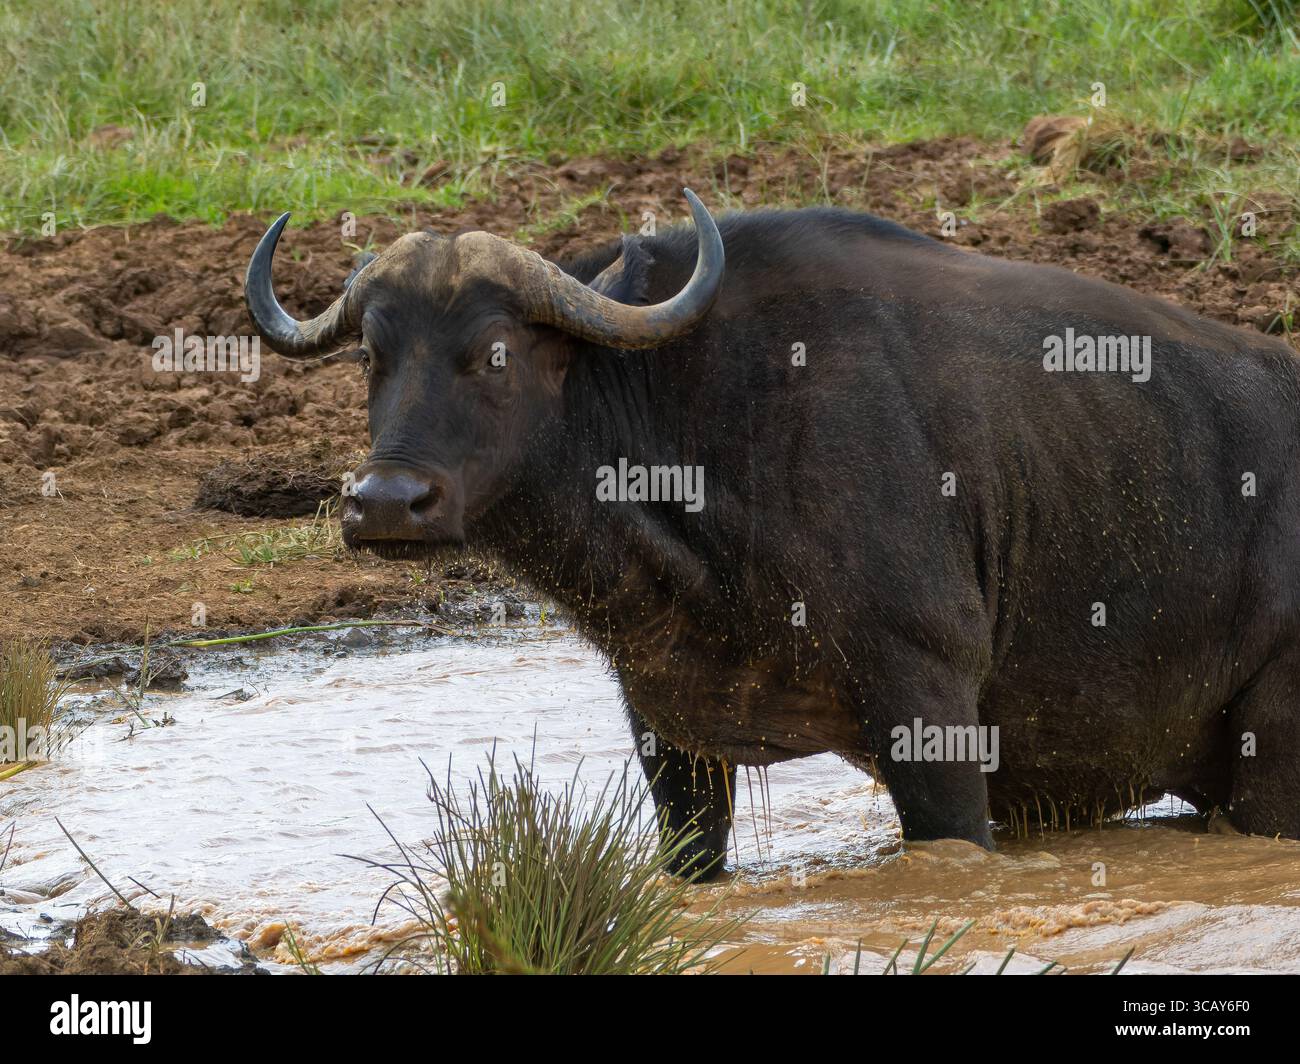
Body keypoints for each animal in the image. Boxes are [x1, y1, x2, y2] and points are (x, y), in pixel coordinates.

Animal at [245, 191, 1300, 879]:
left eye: (495, 353)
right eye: (373, 356)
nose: (387, 502)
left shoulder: (930, 704)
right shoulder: (669, 733)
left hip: (1271, 753)